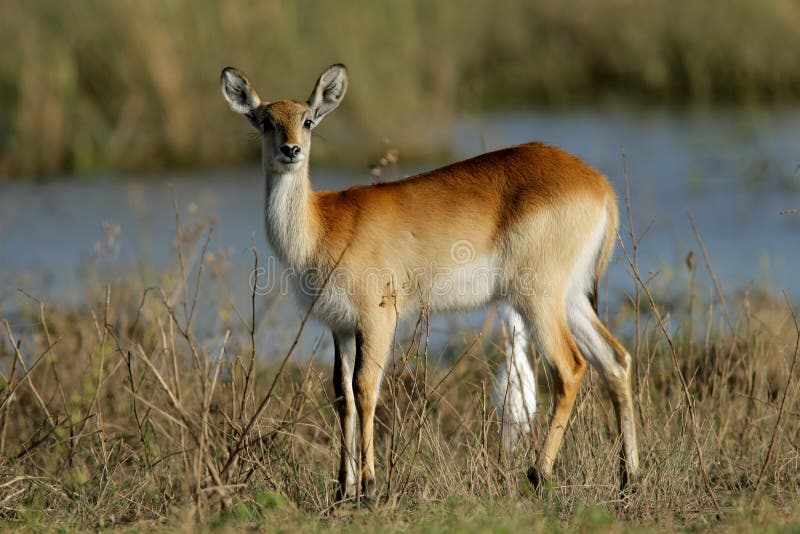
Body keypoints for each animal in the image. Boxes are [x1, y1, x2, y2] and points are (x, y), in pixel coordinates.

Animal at [220, 63, 639, 501]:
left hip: (538, 300)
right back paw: (629, 479)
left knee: (570, 367)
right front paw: (342, 489)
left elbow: (365, 388)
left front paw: (369, 487)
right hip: (570, 299)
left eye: (307, 120)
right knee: (616, 361)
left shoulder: (378, 319)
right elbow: (342, 394)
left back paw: (539, 474)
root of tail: (599, 184)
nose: (291, 150)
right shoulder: (341, 326)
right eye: (266, 121)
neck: (323, 225)